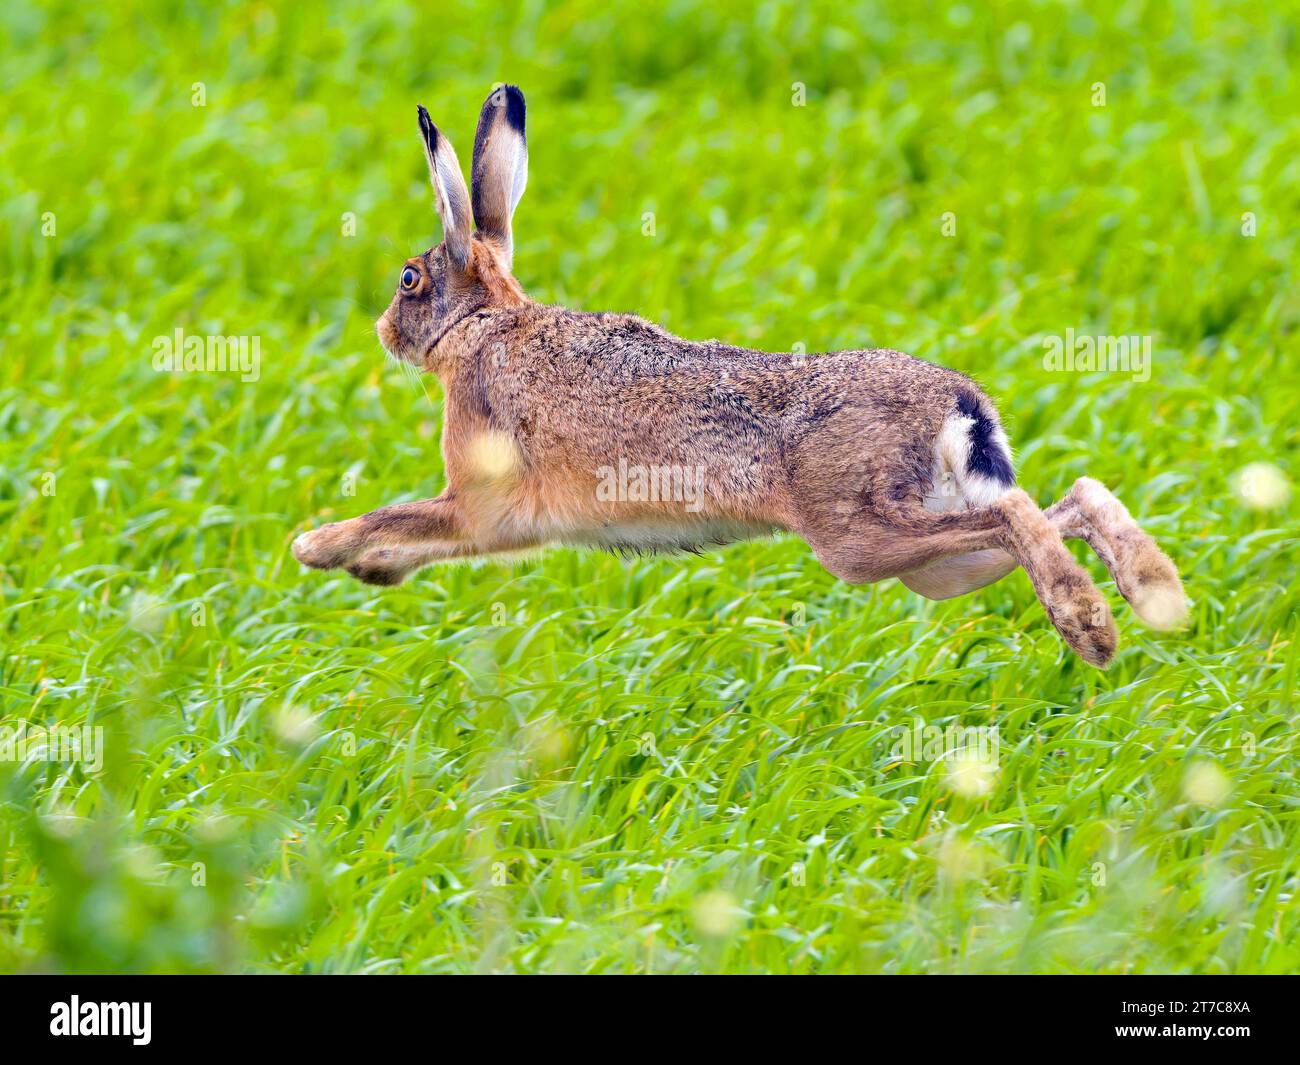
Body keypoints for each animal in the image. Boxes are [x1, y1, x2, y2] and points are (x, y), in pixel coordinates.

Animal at [292, 84, 1189, 668]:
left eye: (409, 279)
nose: (384, 330)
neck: (483, 325)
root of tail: (958, 405)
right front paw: (363, 567)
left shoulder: (480, 501)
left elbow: (401, 514)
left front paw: (318, 548)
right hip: (933, 559)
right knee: (1065, 501)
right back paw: (1158, 596)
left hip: (857, 536)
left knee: (1015, 516)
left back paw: (1092, 627)